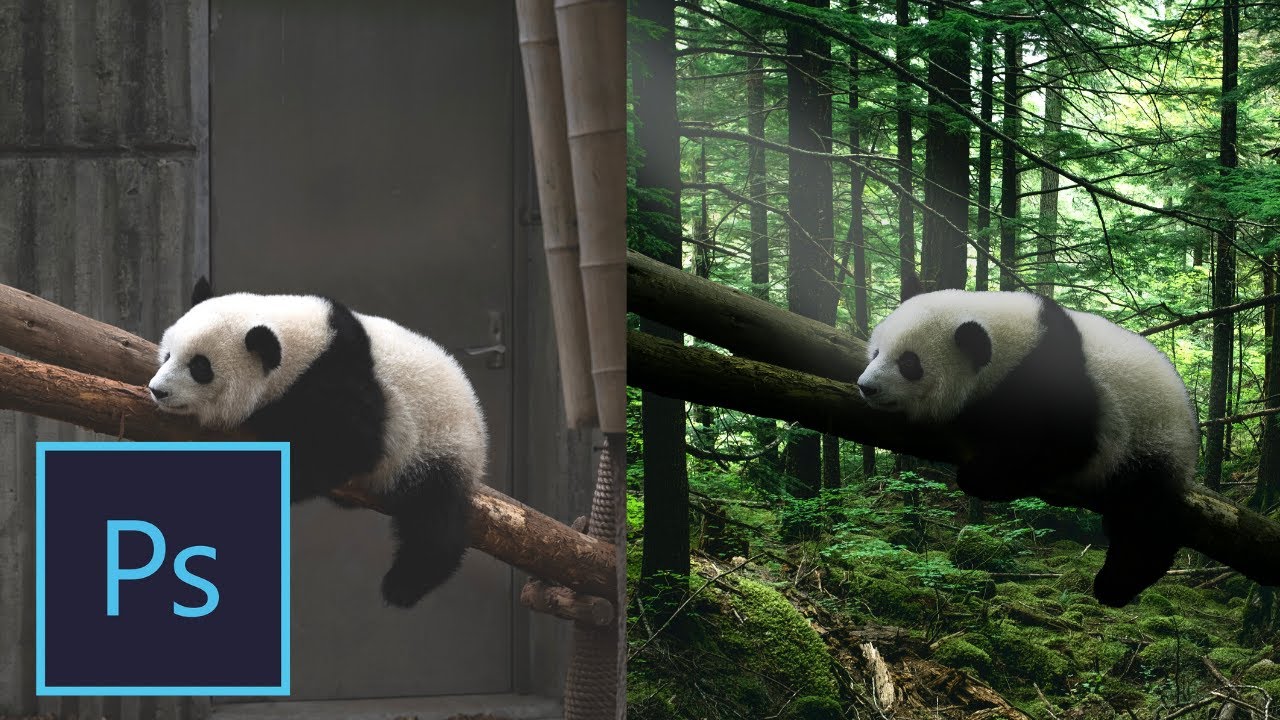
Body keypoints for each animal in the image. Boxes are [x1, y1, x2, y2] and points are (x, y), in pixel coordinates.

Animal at [147, 278, 488, 608]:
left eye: (200, 367)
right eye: (168, 354)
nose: (157, 390)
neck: (305, 347)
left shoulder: (340, 381)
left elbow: (349, 446)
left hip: (438, 445)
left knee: (435, 520)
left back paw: (404, 585)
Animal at [856, 280, 1198, 607]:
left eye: (908, 363)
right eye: (876, 353)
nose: (866, 387)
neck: (1017, 343)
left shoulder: (1058, 381)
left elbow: (1063, 446)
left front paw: (980, 475)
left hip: (1150, 439)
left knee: (1143, 518)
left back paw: (1115, 585)